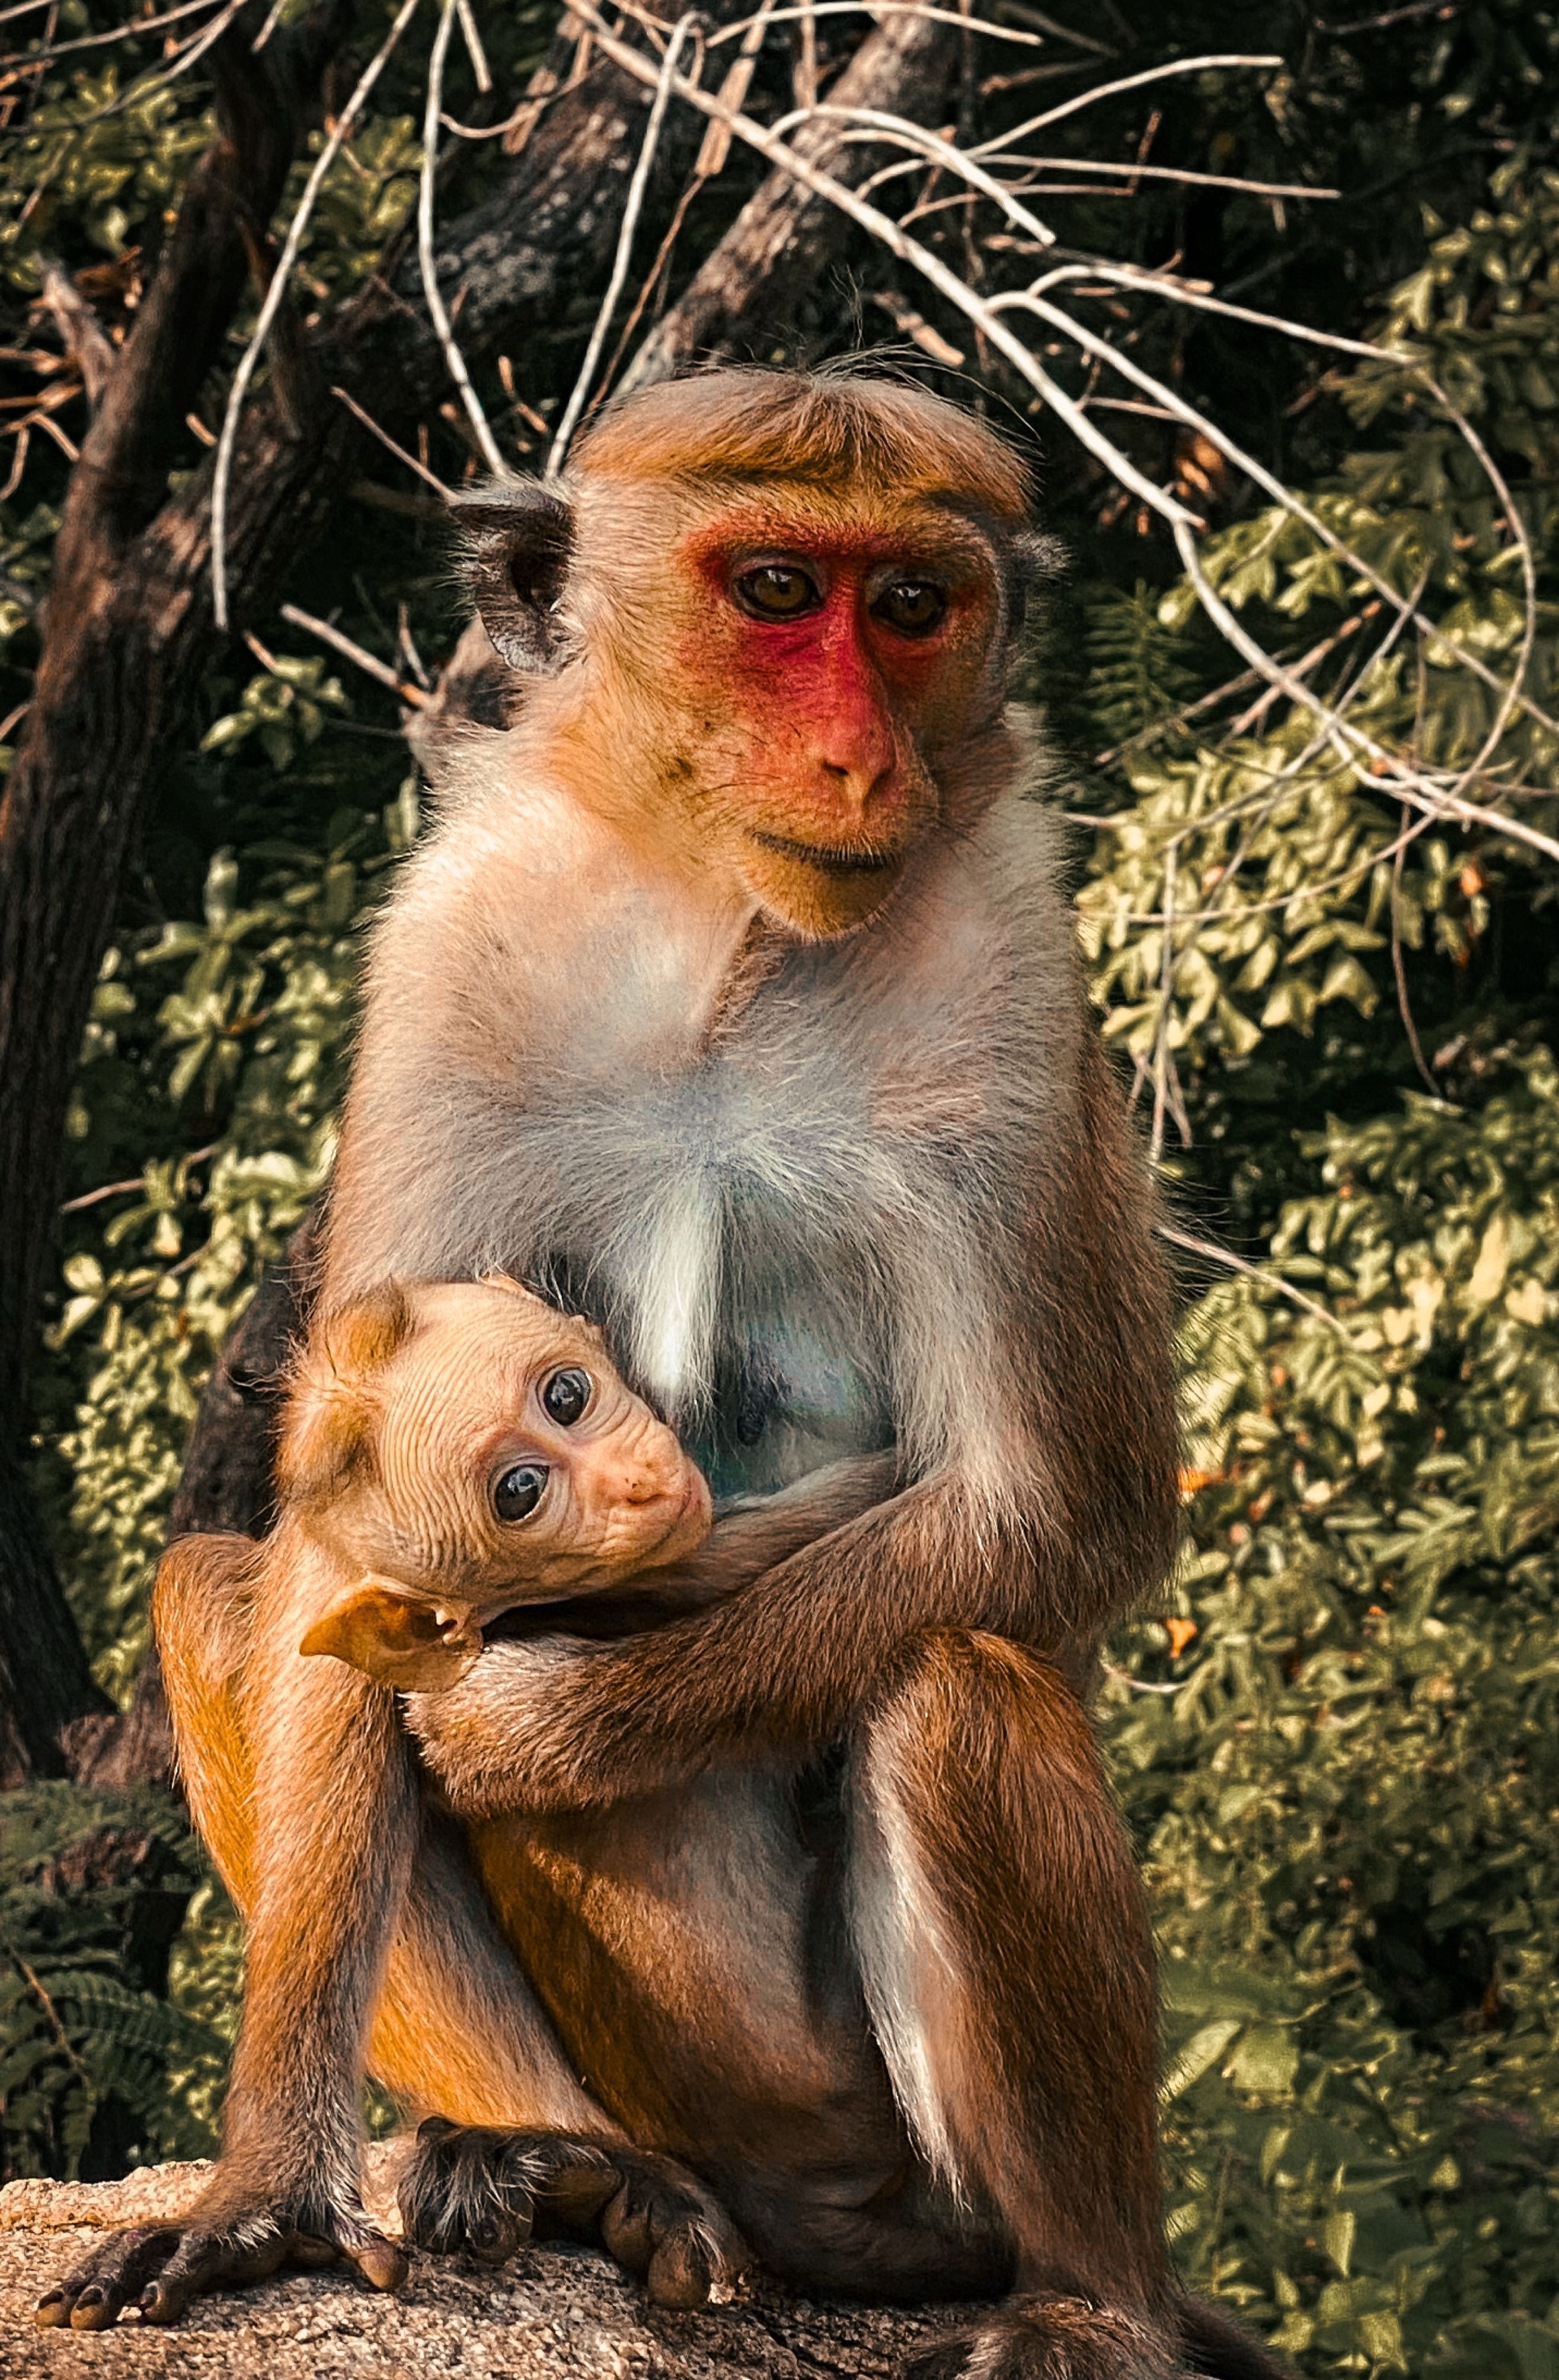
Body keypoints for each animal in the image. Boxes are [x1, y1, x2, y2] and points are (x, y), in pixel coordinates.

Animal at [36, 1273, 890, 2332]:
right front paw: (273, 2195)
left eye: (565, 1395)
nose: (633, 1484)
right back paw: (593, 2167)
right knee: (197, 1582)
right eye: (519, 1493)